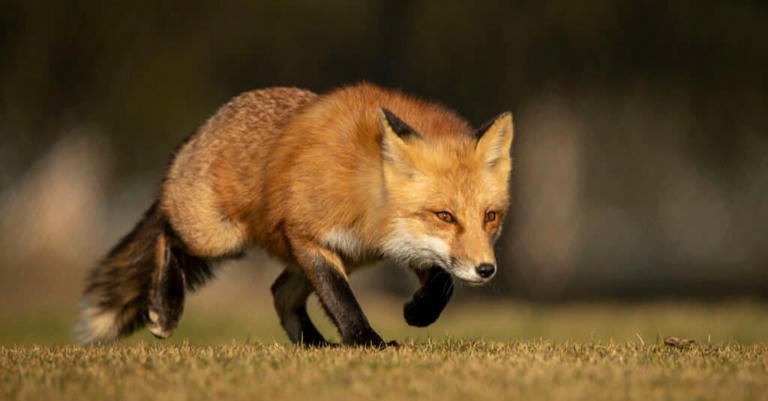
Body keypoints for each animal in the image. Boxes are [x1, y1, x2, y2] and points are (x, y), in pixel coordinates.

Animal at [77, 82, 513, 347]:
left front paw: (418, 311)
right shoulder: (308, 236)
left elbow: (442, 282)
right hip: (218, 236)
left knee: (279, 293)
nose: (487, 270)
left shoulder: (401, 245)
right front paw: (365, 341)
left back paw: (314, 346)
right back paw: (167, 306)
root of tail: (207, 123)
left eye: (490, 216)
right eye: (444, 216)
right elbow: (340, 299)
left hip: (346, 258)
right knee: (166, 233)